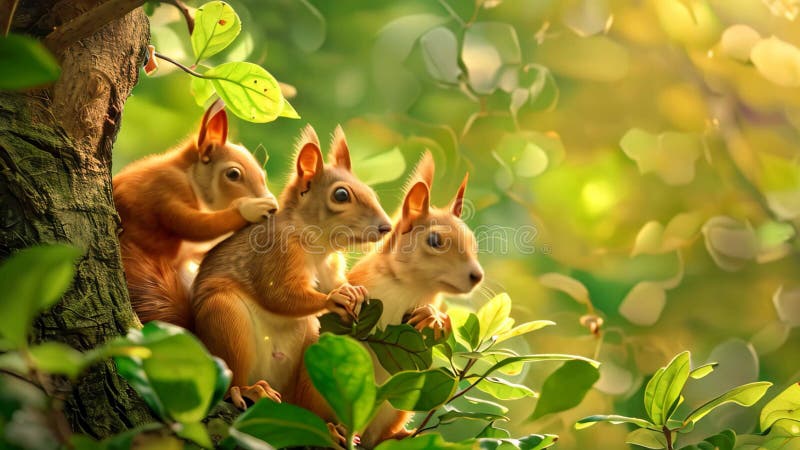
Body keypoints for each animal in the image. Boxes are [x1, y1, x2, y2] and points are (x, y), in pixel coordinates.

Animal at [113, 100, 278, 329]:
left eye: (263, 174)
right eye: (233, 174)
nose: (272, 202)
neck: (188, 174)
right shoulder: (166, 188)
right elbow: (193, 225)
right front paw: (253, 207)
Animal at [190, 124, 392, 412]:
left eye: (371, 192)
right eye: (341, 195)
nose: (387, 227)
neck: (319, 245)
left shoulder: (331, 266)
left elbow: (334, 282)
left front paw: (354, 291)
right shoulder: (276, 252)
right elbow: (278, 295)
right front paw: (334, 299)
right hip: (224, 318)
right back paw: (249, 390)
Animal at [294, 152, 484, 448]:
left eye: (474, 242)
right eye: (435, 240)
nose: (477, 276)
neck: (410, 287)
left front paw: (434, 318)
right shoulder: (359, 281)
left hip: (396, 406)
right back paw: (334, 429)